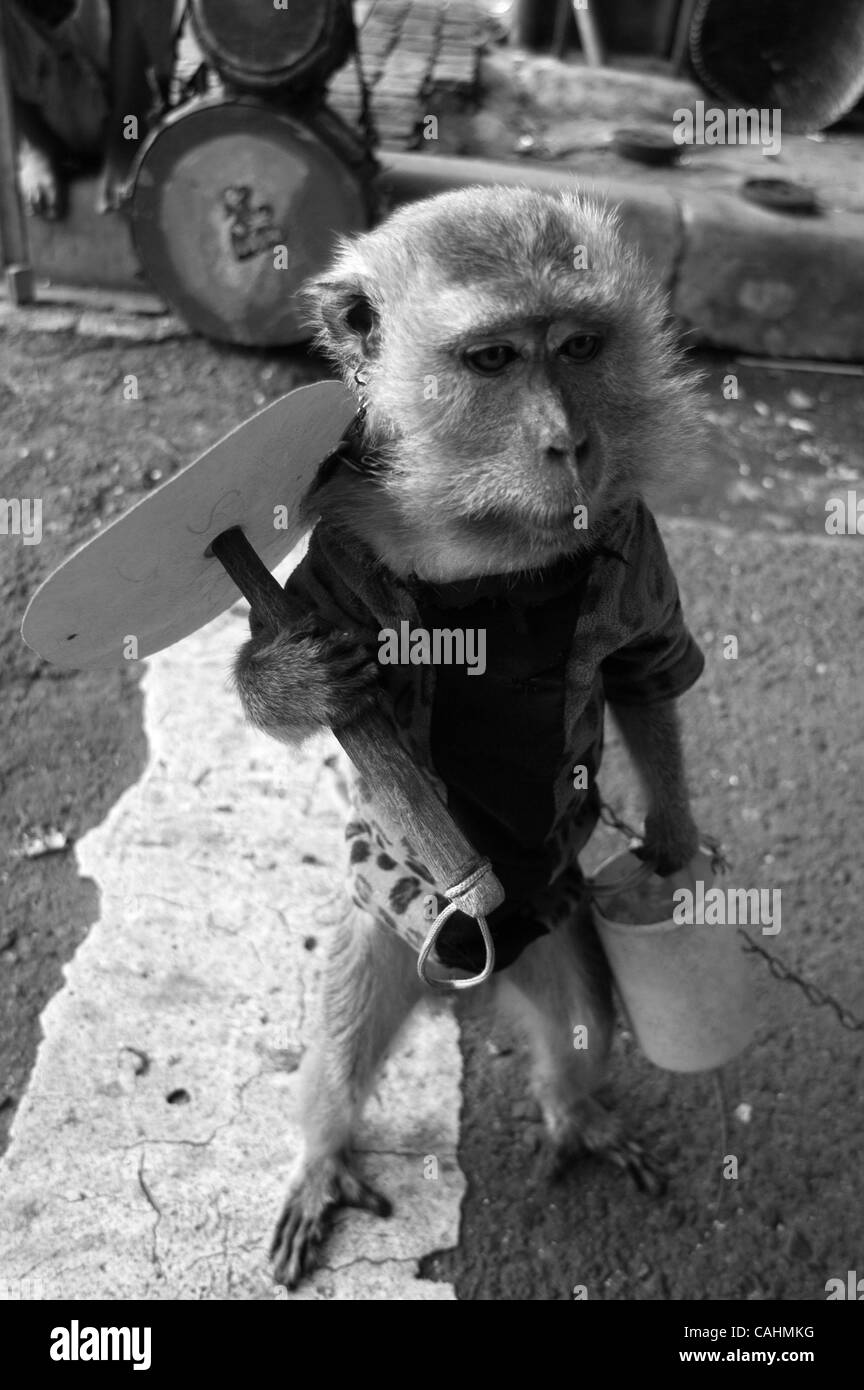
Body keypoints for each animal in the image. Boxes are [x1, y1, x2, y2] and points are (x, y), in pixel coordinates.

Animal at [232, 186, 706, 1289]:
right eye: (492, 360)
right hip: (394, 924)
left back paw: (576, 1112)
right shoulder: (341, 551)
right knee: (347, 1020)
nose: (570, 442)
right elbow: (308, 686)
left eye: (578, 346)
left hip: (557, 922)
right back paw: (323, 1151)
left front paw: (669, 827)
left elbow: (642, 668)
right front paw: (290, 674)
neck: (487, 530)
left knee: (580, 1017)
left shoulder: (630, 526)